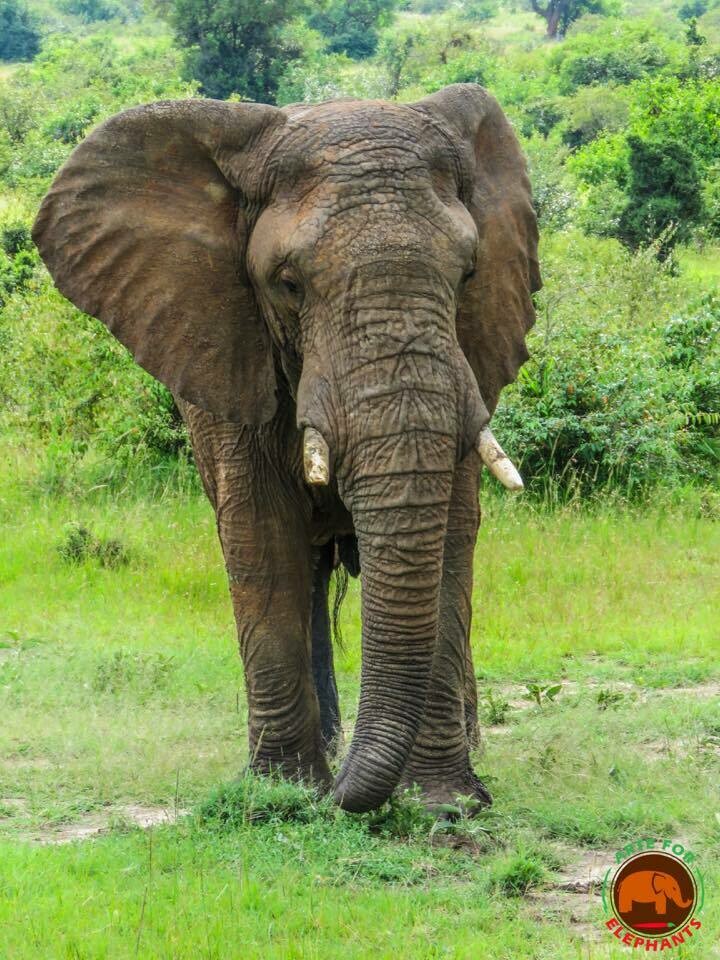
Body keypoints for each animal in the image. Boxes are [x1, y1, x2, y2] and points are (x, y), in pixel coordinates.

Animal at [32, 83, 541, 814]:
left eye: (469, 273)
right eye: (288, 283)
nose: (341, 801)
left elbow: (450, 532)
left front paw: (443, 803)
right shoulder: (227, 350)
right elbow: (260, 533)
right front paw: (283, 795)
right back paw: (325, 754)